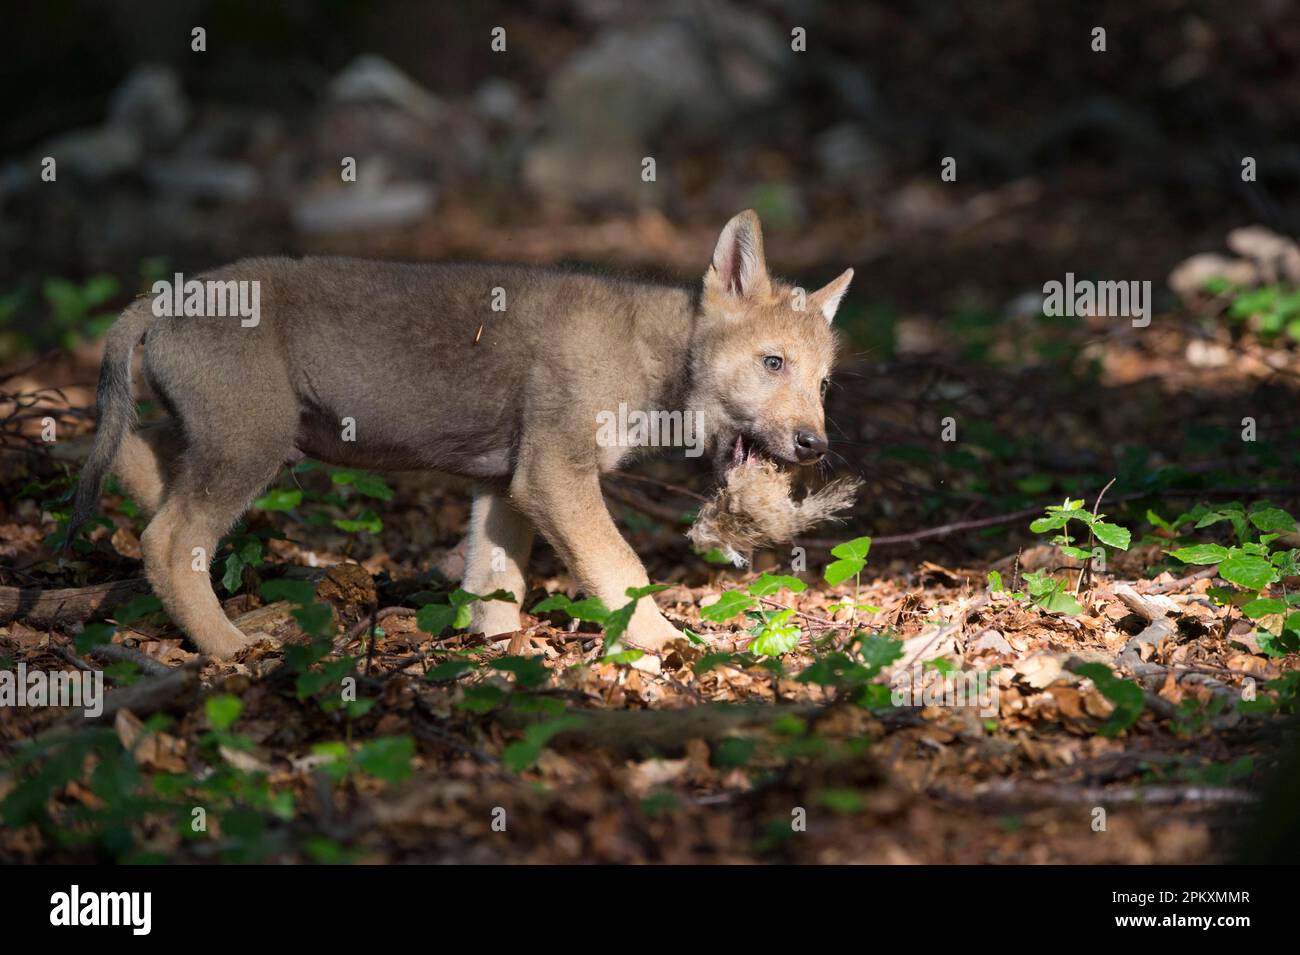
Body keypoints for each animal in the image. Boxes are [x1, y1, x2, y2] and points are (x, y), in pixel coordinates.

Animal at [69, 210, 852, 660]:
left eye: (823, 385)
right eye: (773, 362)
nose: (816, 446)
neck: (654, 350)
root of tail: (161, 301)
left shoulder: (504, 485)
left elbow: (497, 584)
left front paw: (498, 655)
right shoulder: (554, 476)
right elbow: (622, 569)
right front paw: (667, 645)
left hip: (204, 441)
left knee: (134, 476)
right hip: (248, 447)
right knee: (168, 542)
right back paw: (229, 648)